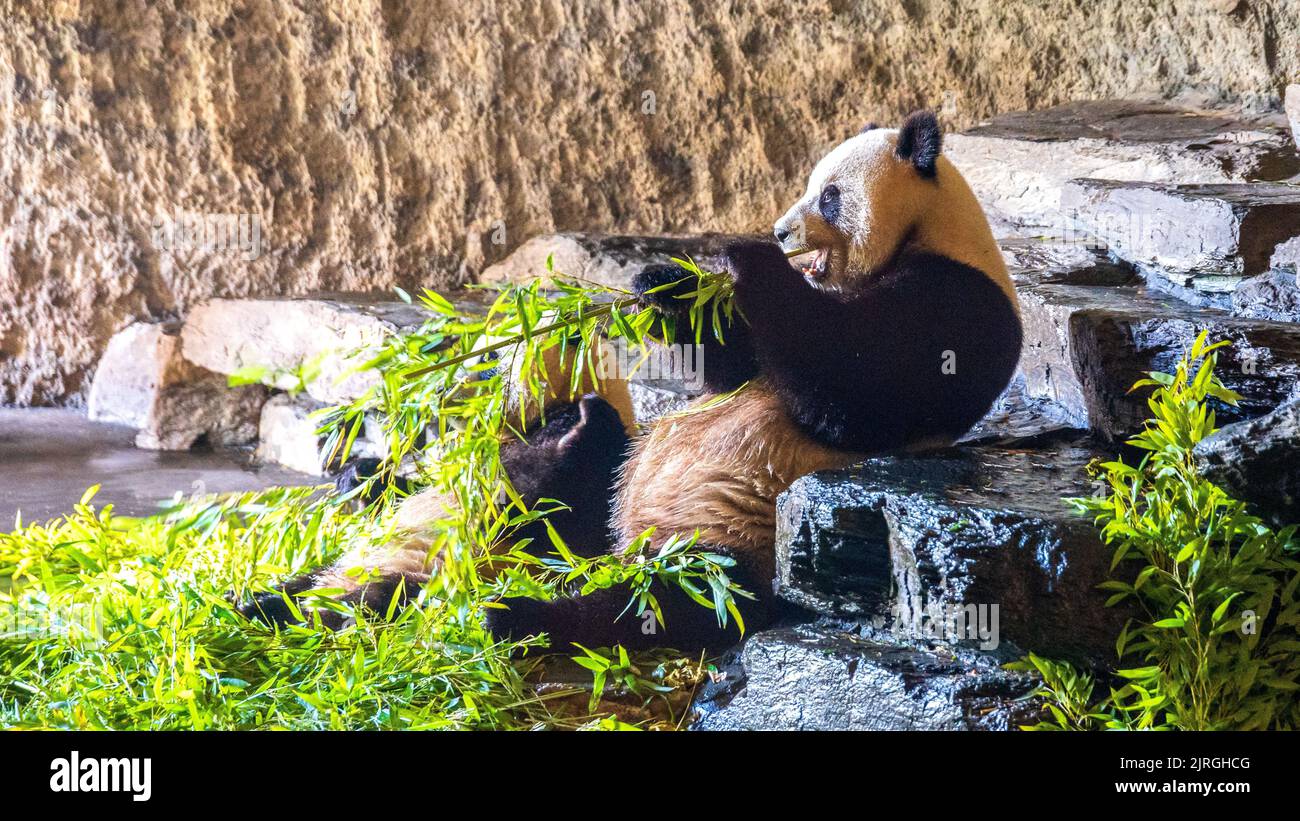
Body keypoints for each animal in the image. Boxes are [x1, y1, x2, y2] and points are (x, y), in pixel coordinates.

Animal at [242, 111, 1022, 651]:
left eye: (828, 197)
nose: (781, 230)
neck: (932, 229)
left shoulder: (960, 300)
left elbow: (859, 384)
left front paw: (742, 258)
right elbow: (735, 365)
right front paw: (665, 283)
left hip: (730, 535)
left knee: (656, 603)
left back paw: (511, 614)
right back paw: (261, 603)